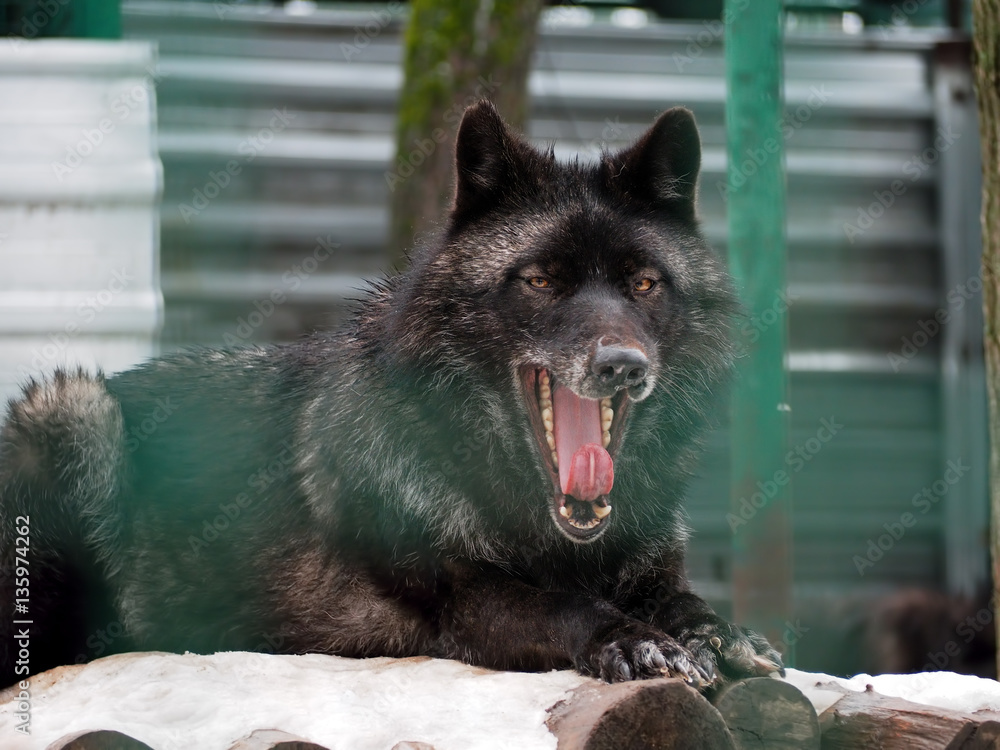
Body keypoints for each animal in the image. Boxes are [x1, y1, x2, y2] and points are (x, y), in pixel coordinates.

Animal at [0, 101, 781, 688]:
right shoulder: (464, 602)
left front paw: (721, 633)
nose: (622, 365)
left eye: (644, 283)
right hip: (72, 410)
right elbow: (564, 605)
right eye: (541, 281)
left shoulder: (650, 565)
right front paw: (634, 640)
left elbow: (683, 600)